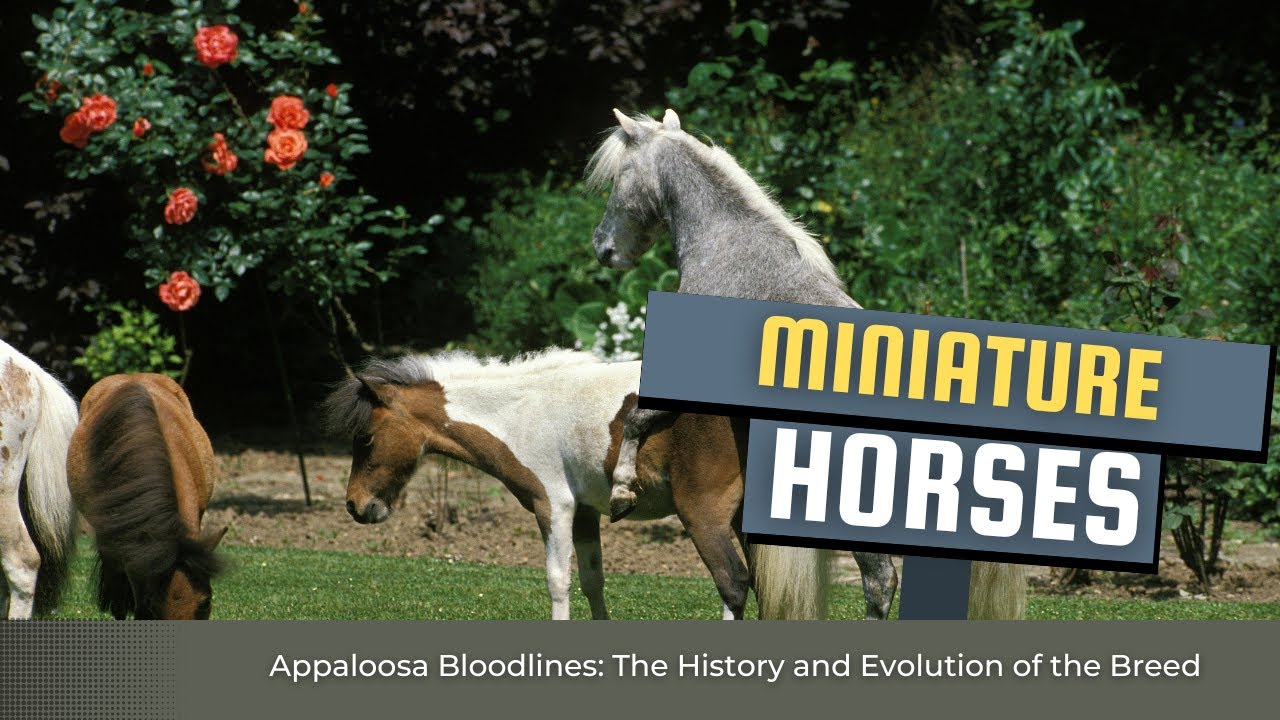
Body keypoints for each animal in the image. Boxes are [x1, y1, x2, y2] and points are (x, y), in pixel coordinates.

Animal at [323, 349, 825, 620]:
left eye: (365, 438)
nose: (354, 505)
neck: (521, 411)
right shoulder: (585, 514)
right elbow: (592, 581)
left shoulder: (554, 508)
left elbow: (557, 581)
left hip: (704, 518)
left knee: (734, 582)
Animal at [585, 108, 1026, 620]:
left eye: (618, 176)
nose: (603, 248)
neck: (733, 253)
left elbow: (638, 418)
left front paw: (621, 491)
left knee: (879, 581)